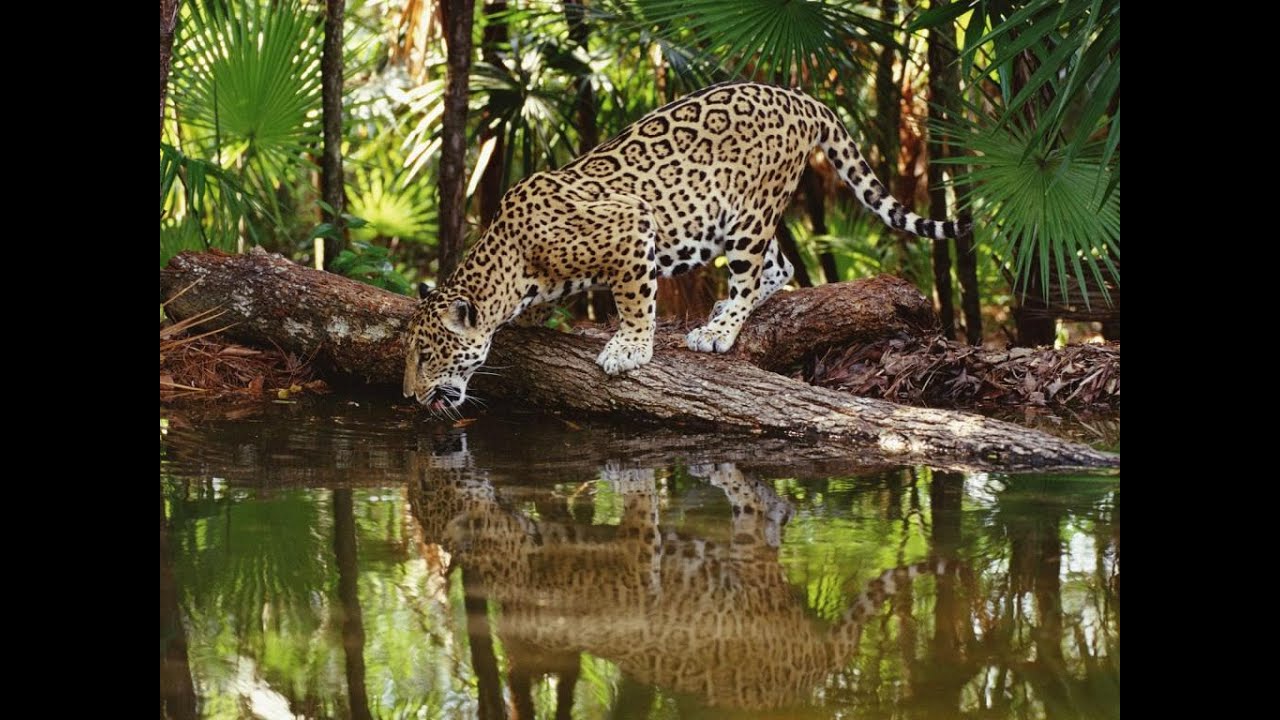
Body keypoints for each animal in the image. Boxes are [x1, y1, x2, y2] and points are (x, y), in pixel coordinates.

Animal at [404, 80, 970, 412]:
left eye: (428, 354)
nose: (410, 395)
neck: (511, 261)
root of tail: (800, 97)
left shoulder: (632, 225)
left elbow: (635, 300)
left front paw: (629, 347)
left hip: (749, 213)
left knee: (751, 272)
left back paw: (718, 330)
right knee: (782, 265)